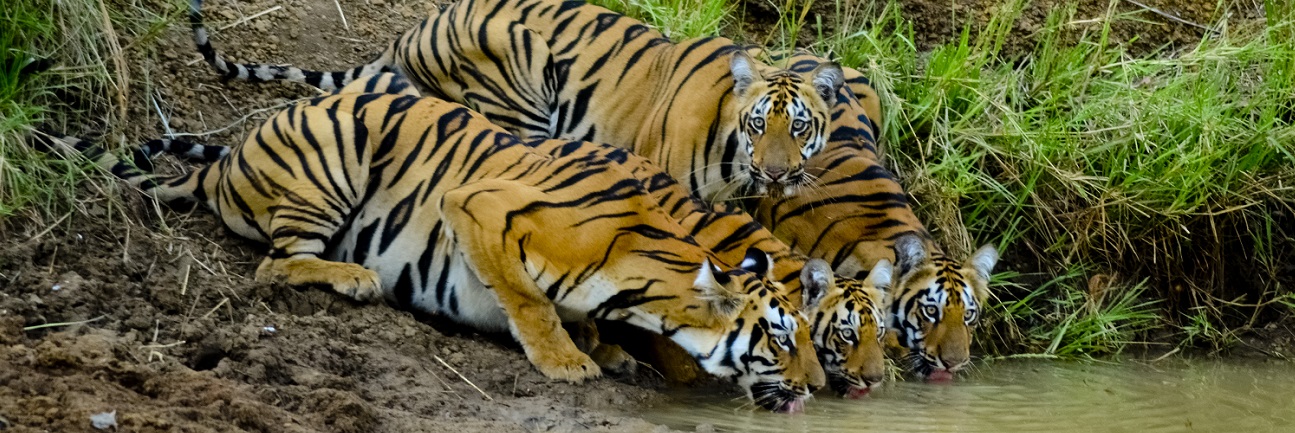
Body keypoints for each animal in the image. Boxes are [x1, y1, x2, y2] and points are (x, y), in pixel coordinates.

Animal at [32, 84, 830, 413]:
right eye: (781, 337)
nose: (821, 385)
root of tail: (224, 159)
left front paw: (603, 348)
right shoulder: (478, 204)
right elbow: (530, 299)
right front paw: (568, 361)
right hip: (337, 151)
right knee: (272, 264)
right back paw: (354, 276)